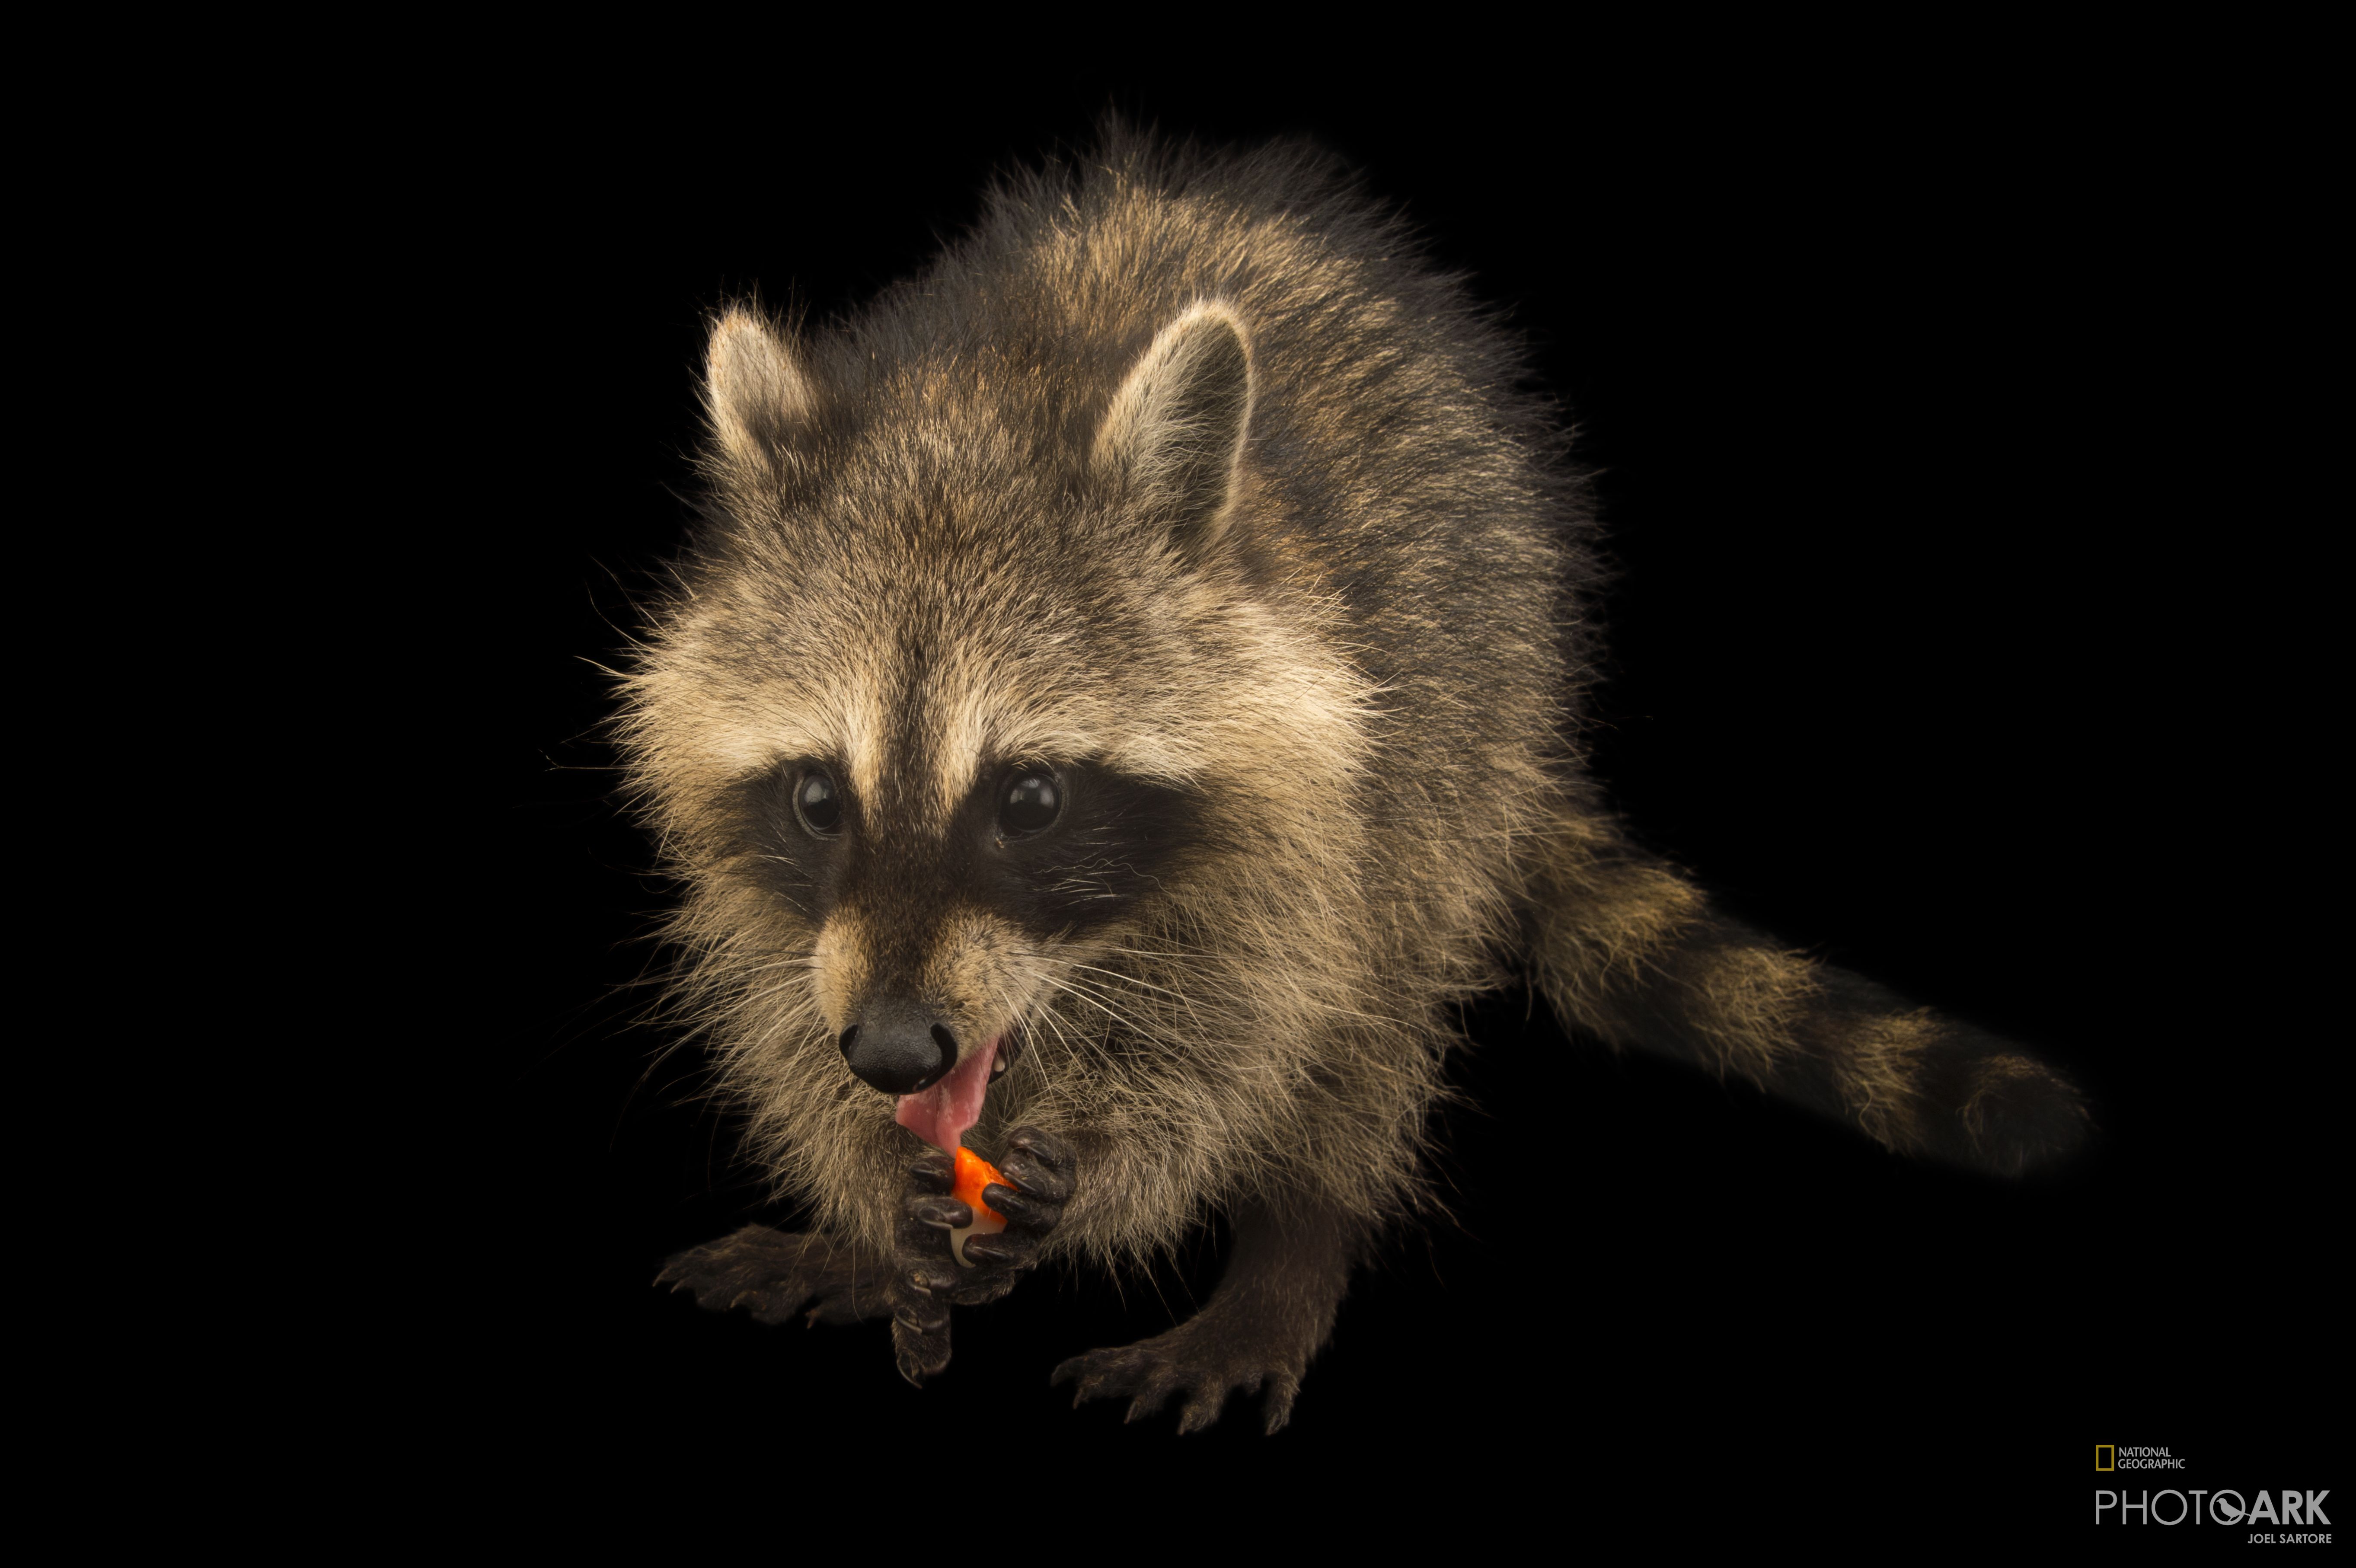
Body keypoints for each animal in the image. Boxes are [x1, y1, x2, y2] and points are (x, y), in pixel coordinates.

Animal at [633, 130, 2088, 1432]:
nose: (893, 1051)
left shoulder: (1322, 785)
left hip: (1474, 707)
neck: (977, 403)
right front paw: (872, 1203)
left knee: (1369, 1014)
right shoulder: (773, 888)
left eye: (1029, 801)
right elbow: (778, 999)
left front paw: (1118, 1170)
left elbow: (1248, 1034)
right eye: (819, 799)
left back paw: (1291, 1251)